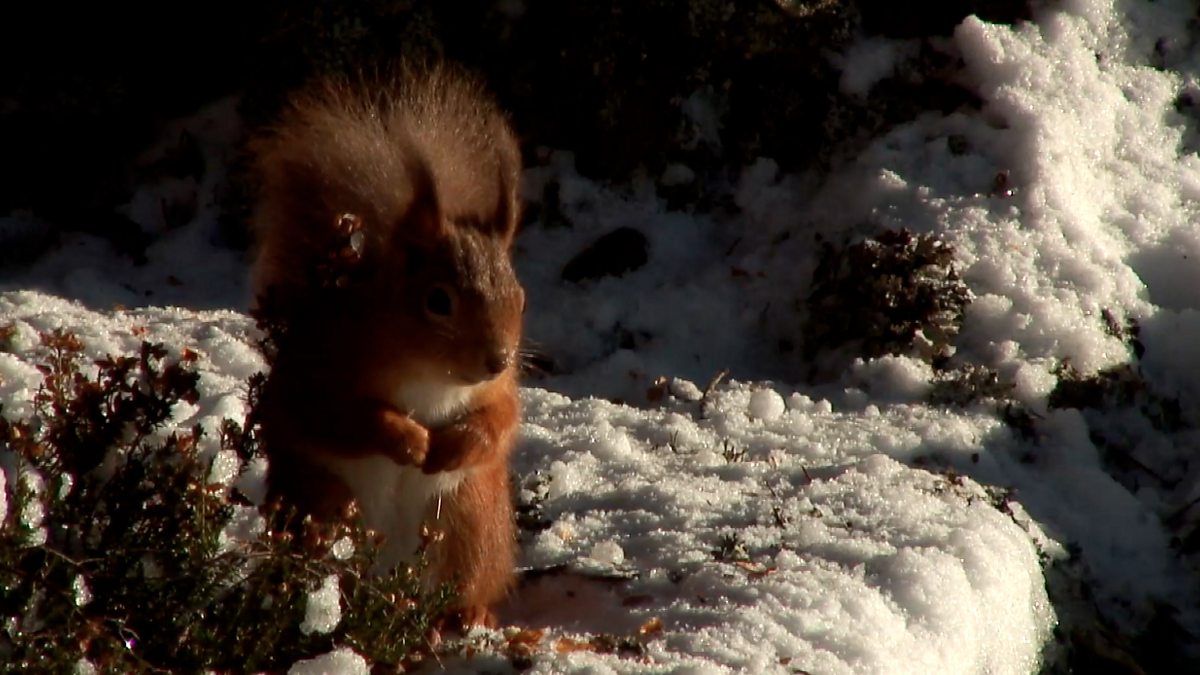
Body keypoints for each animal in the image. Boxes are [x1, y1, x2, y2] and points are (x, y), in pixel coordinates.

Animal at [245, 61, 526, 629]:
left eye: (520, 295)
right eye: (437, 300)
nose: (497, 359)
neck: (429, 376)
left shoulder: (500, 391)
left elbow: (502, 420)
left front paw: (453, 444)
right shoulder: (321, 368)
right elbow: (336, 417)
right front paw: (410, 441)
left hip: (470, 520)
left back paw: (464, 616)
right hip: (326, 504)